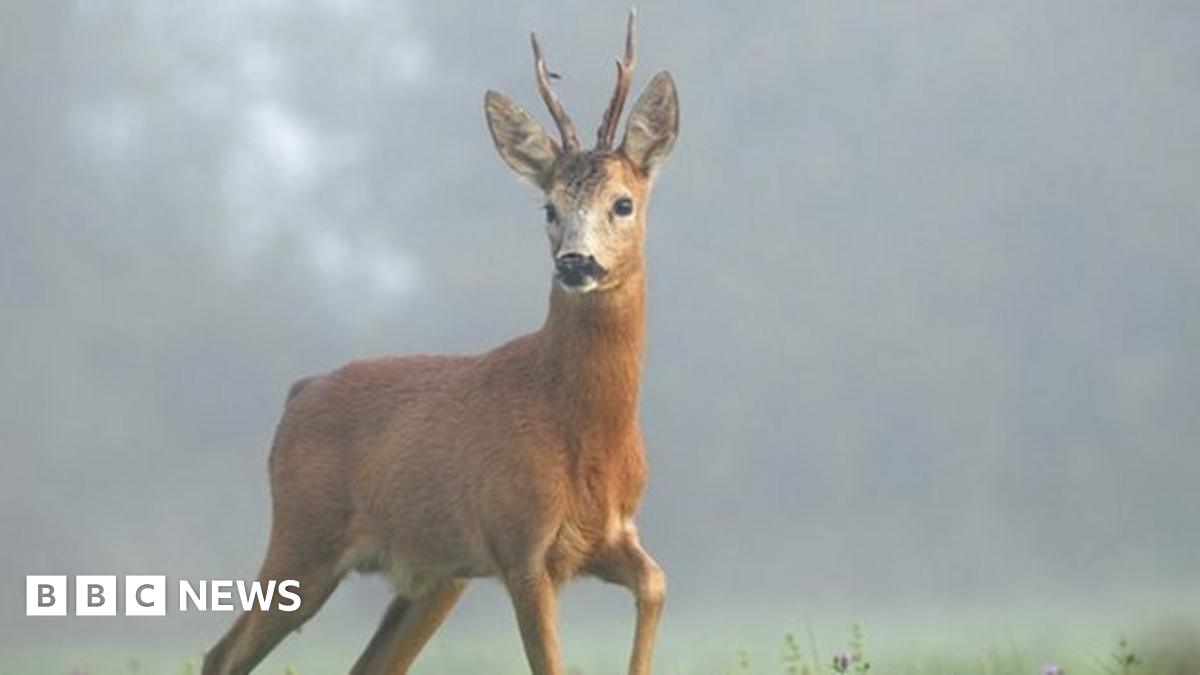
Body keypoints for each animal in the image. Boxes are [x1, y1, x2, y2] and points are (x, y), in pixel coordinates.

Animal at [202, 11, 678, 675]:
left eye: (623, 202)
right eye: (548, 208)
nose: (575, 263)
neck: (584, 432)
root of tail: (299, 392)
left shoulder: (608, 536)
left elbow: (656, 583)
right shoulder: (520, 545)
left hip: (432, 576)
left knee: (363, 664)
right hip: (303, 536)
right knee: (223, 654)